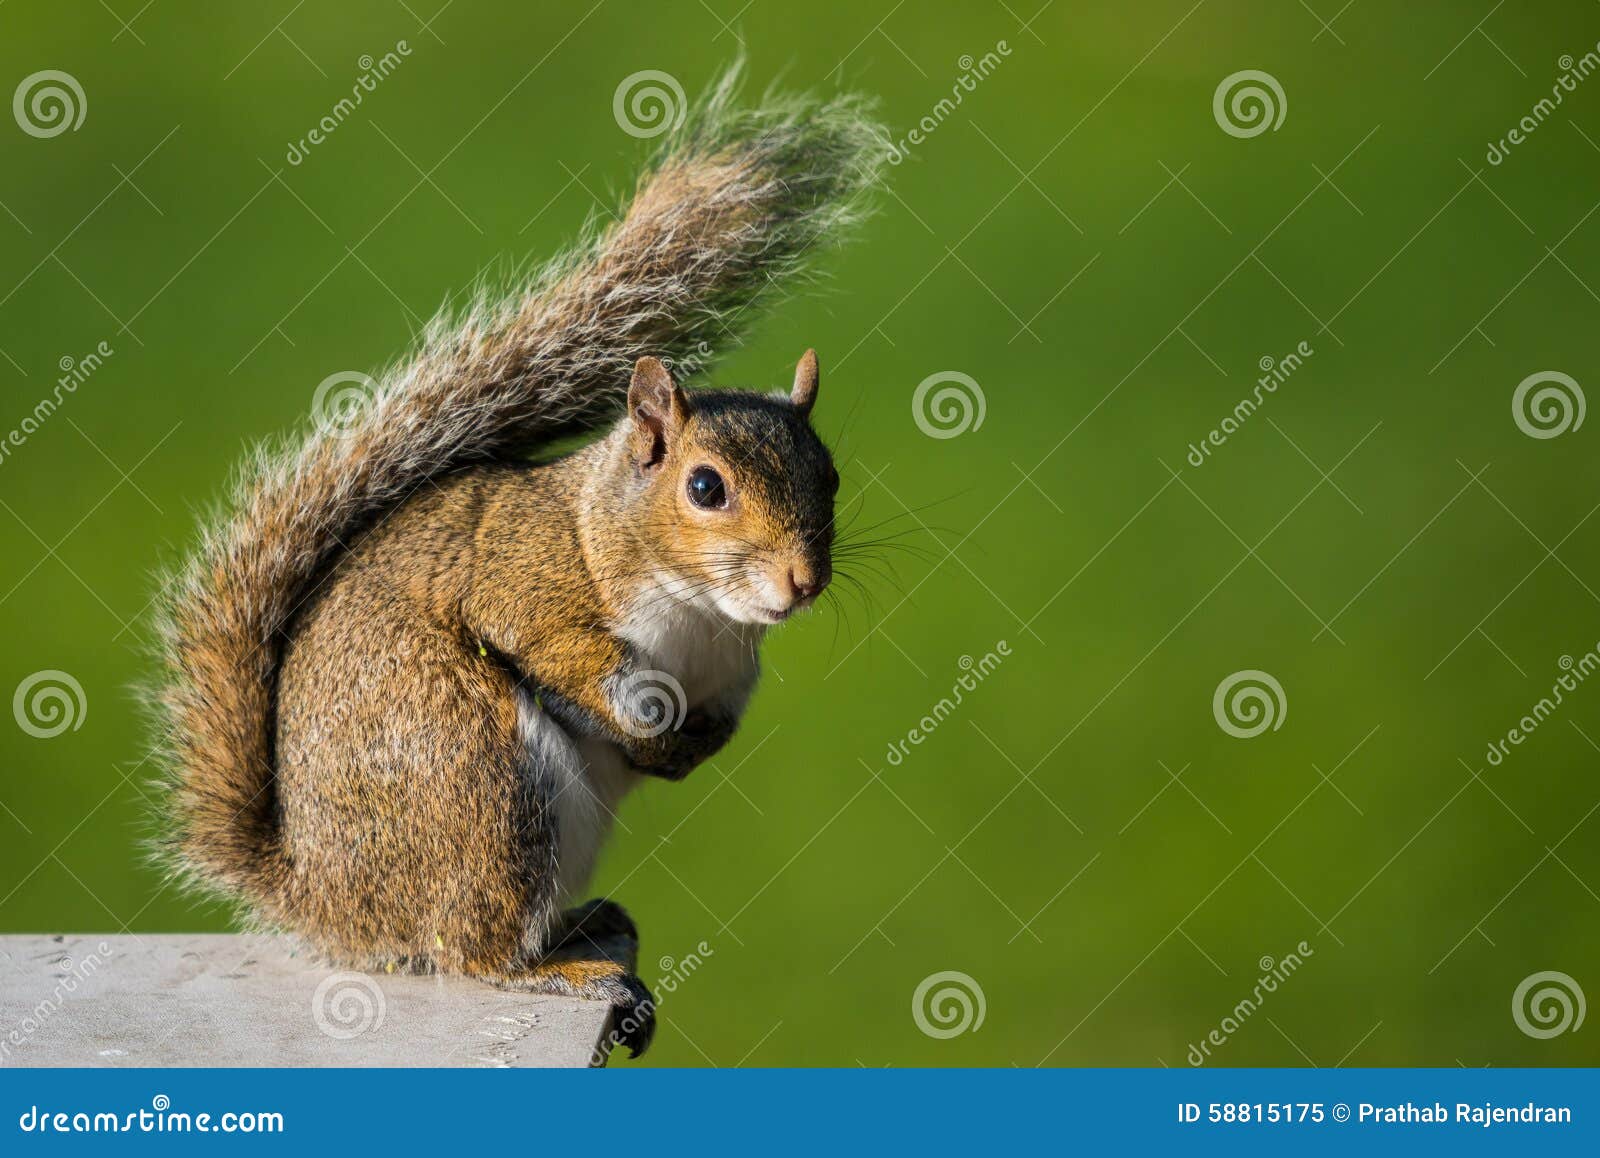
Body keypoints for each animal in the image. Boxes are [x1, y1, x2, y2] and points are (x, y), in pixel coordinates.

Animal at [149, 69, 886, 1058]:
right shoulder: (525, 579)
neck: (701, 615)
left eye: (832, 475)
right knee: (472, 951)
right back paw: (559, 969)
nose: (804, 581)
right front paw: (646, 719)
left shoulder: (735, 674)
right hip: (479, 772)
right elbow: (557, 643)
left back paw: (587, 925)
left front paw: (686, 751)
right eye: (705, 487)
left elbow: (719, 721)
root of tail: (327, 899)